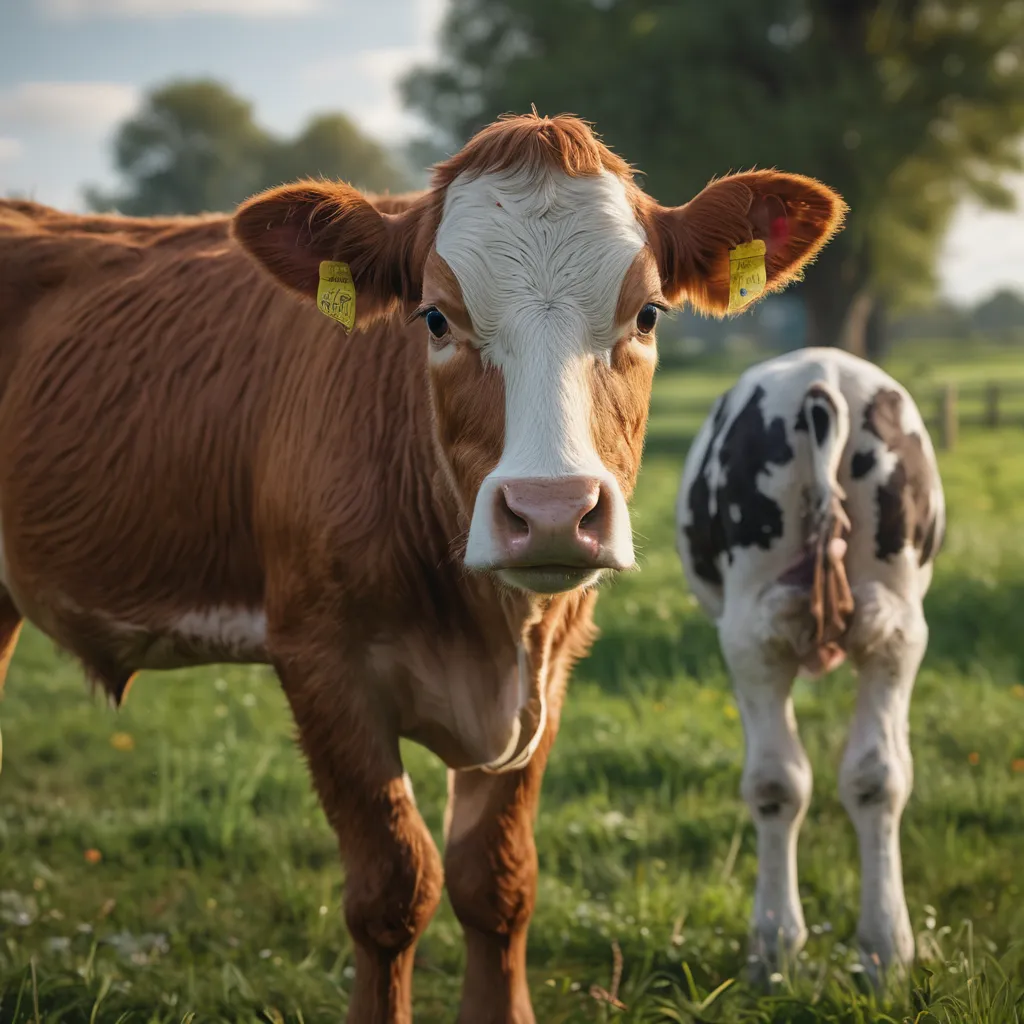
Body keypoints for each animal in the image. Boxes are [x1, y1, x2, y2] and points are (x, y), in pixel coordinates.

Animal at [0, 113, 844, 1023]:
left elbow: (496, 881)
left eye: (648, 314)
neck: (486, 632)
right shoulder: (321, 661)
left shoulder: (548, 671)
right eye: (436, 319)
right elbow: (393, 886)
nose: (552, 511)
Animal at [676, 347, 945, 983]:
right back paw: (885, 951)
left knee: (779, 780)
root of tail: (822, 378)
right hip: (895, 625)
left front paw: (774, 946)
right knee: (877, 776)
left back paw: (778, 943)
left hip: (754, 631)